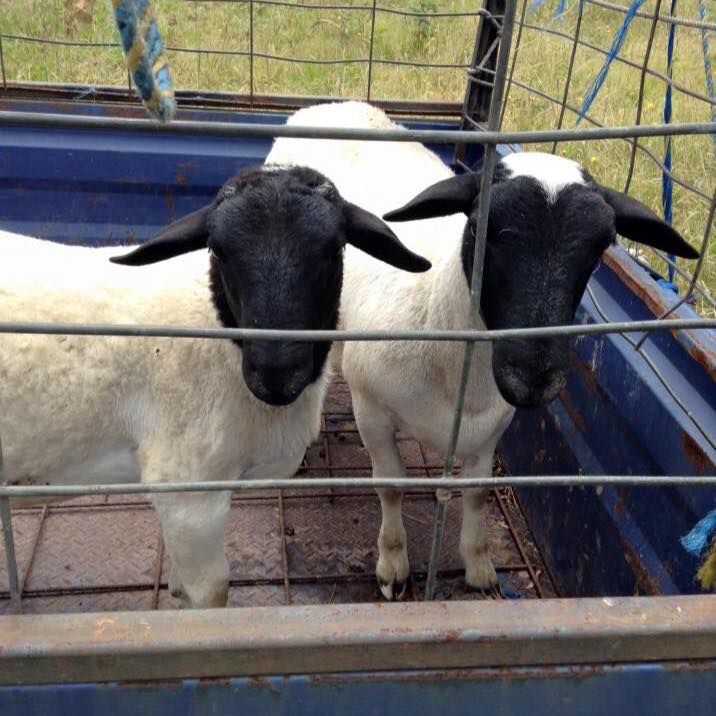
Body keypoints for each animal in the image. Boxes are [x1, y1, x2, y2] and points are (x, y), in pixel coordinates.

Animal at [267, 101, 699, 600]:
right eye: (479, 227)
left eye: (600, 247)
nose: (532, 378)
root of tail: (334, 105)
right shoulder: (371, 411)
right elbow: (391, 487)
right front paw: (393, 565)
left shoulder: (494, 425)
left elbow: (475, 491)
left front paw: (478, 566)